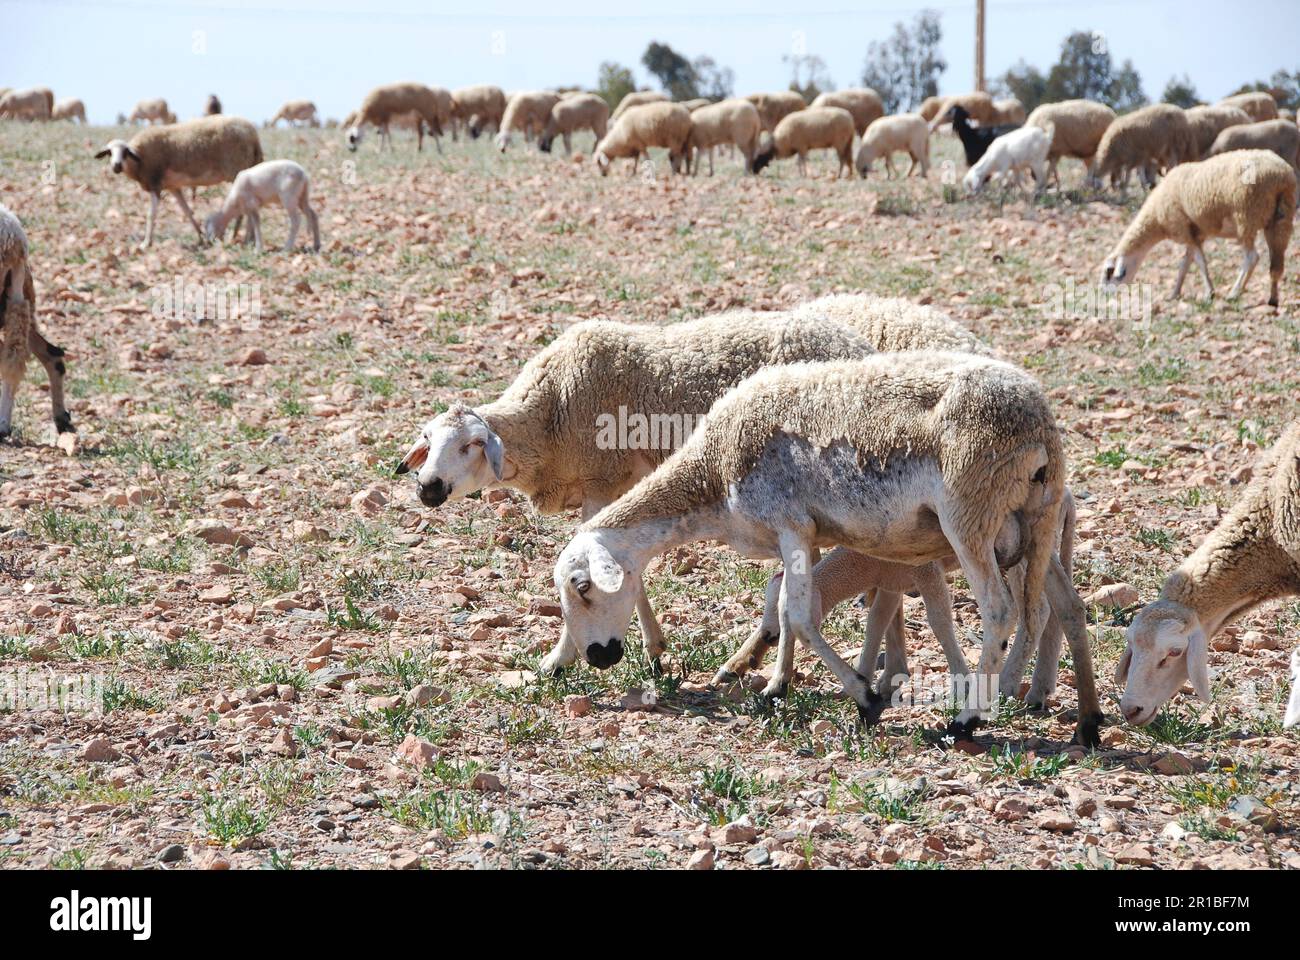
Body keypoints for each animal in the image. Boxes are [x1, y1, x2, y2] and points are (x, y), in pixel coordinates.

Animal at [95, 115, 264, 249]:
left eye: (125, 152)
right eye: (109, 152)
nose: (116, 166)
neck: (138, 159)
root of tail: (254, 136)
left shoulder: (155, 185)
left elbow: (151, 215)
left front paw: (146, 243)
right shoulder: (172, 187)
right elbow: (187, 211)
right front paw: (201, 237)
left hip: (237, 172)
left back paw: (240, 237)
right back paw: (248, 239)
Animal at [553, 352, 1101, 745]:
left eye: (582, 587)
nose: (599, 657)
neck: (712, 474)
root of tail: (1037, 418)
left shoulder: (790, 524)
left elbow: (797, 615)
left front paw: (864, 698)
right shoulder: (800, 536)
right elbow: (782, 603)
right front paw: (777, 687)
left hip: (972, 516)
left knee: (1002, 613)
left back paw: (966, 719)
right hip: (1034, 520)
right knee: (1066, 608)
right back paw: (1088, 721)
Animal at [1101, 149, 1296, 307]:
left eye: (1109, 273)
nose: (1103, 296)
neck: (1155, 218)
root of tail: (1280, 174)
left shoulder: (1183, 229)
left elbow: (1200, 262)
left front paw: (1209, 293)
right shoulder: (1195, 233)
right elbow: (1185, 264)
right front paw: (1174, 293)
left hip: (1246, 214)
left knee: (1252, 257)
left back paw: (1234, 293)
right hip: (1281, 217)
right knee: (1276, 262)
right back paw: (1273, 298)